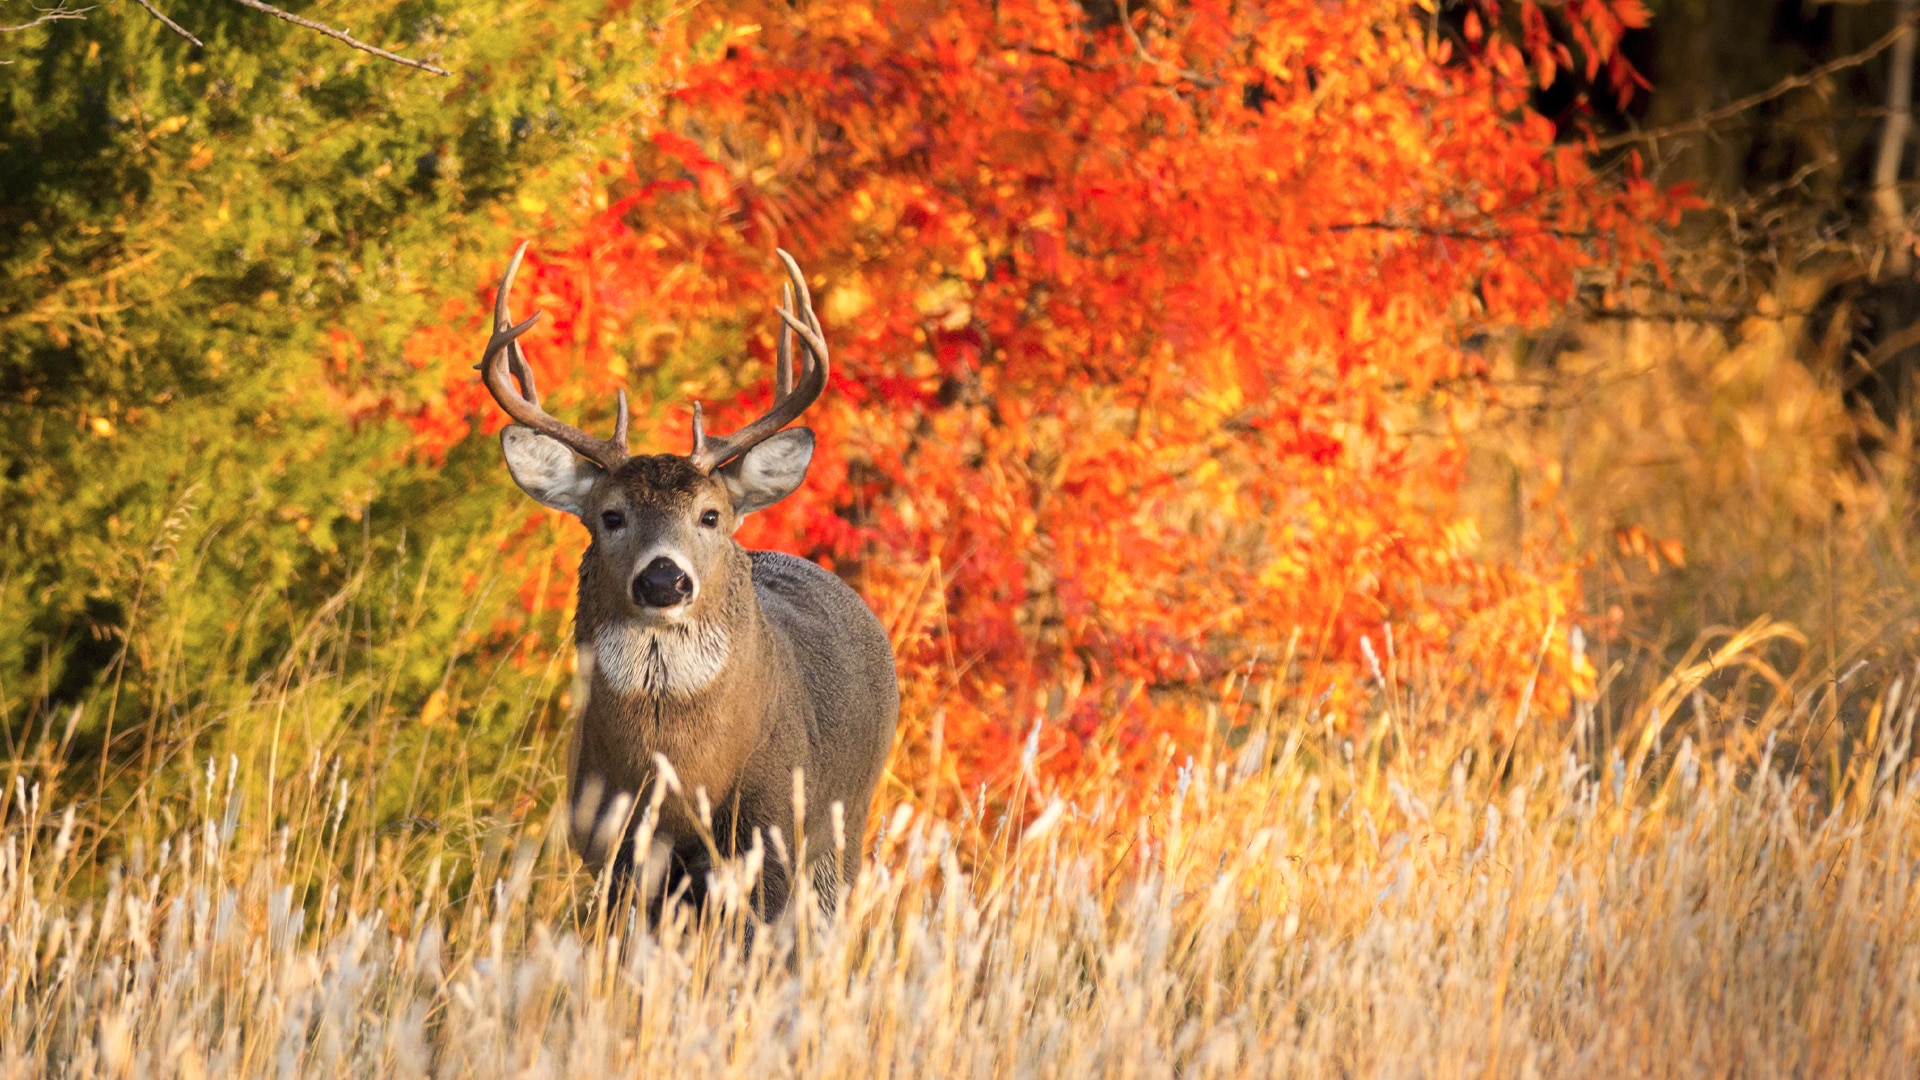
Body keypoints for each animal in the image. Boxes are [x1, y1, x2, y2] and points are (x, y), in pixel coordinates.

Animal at [477, 244, 898, 923]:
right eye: (610, 515)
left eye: (711, 515)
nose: (664, 578)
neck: (679, 778)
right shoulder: (614, 849)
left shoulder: (770, 838)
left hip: (844, 825)